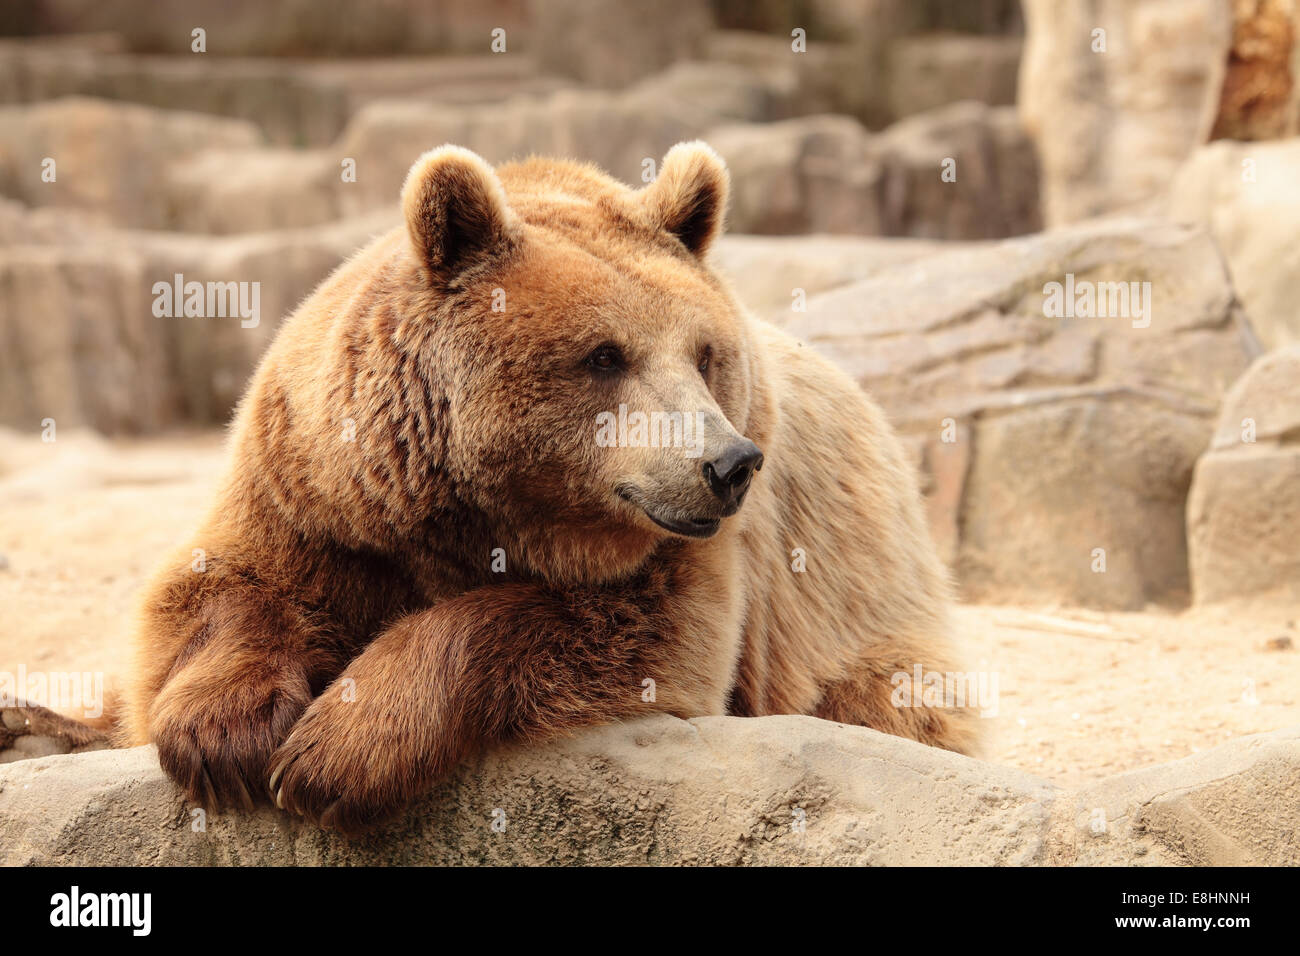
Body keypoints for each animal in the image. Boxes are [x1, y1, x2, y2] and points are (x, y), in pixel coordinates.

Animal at [123, 142, 979, 833]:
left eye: (705, 354)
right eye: (605, 355)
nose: (728, 463)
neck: (479, 512)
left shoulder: (687, 562)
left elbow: (614, 632)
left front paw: (336, 751)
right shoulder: (320, 484)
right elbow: (223, 582)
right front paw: (221, 737)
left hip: (861, 614)